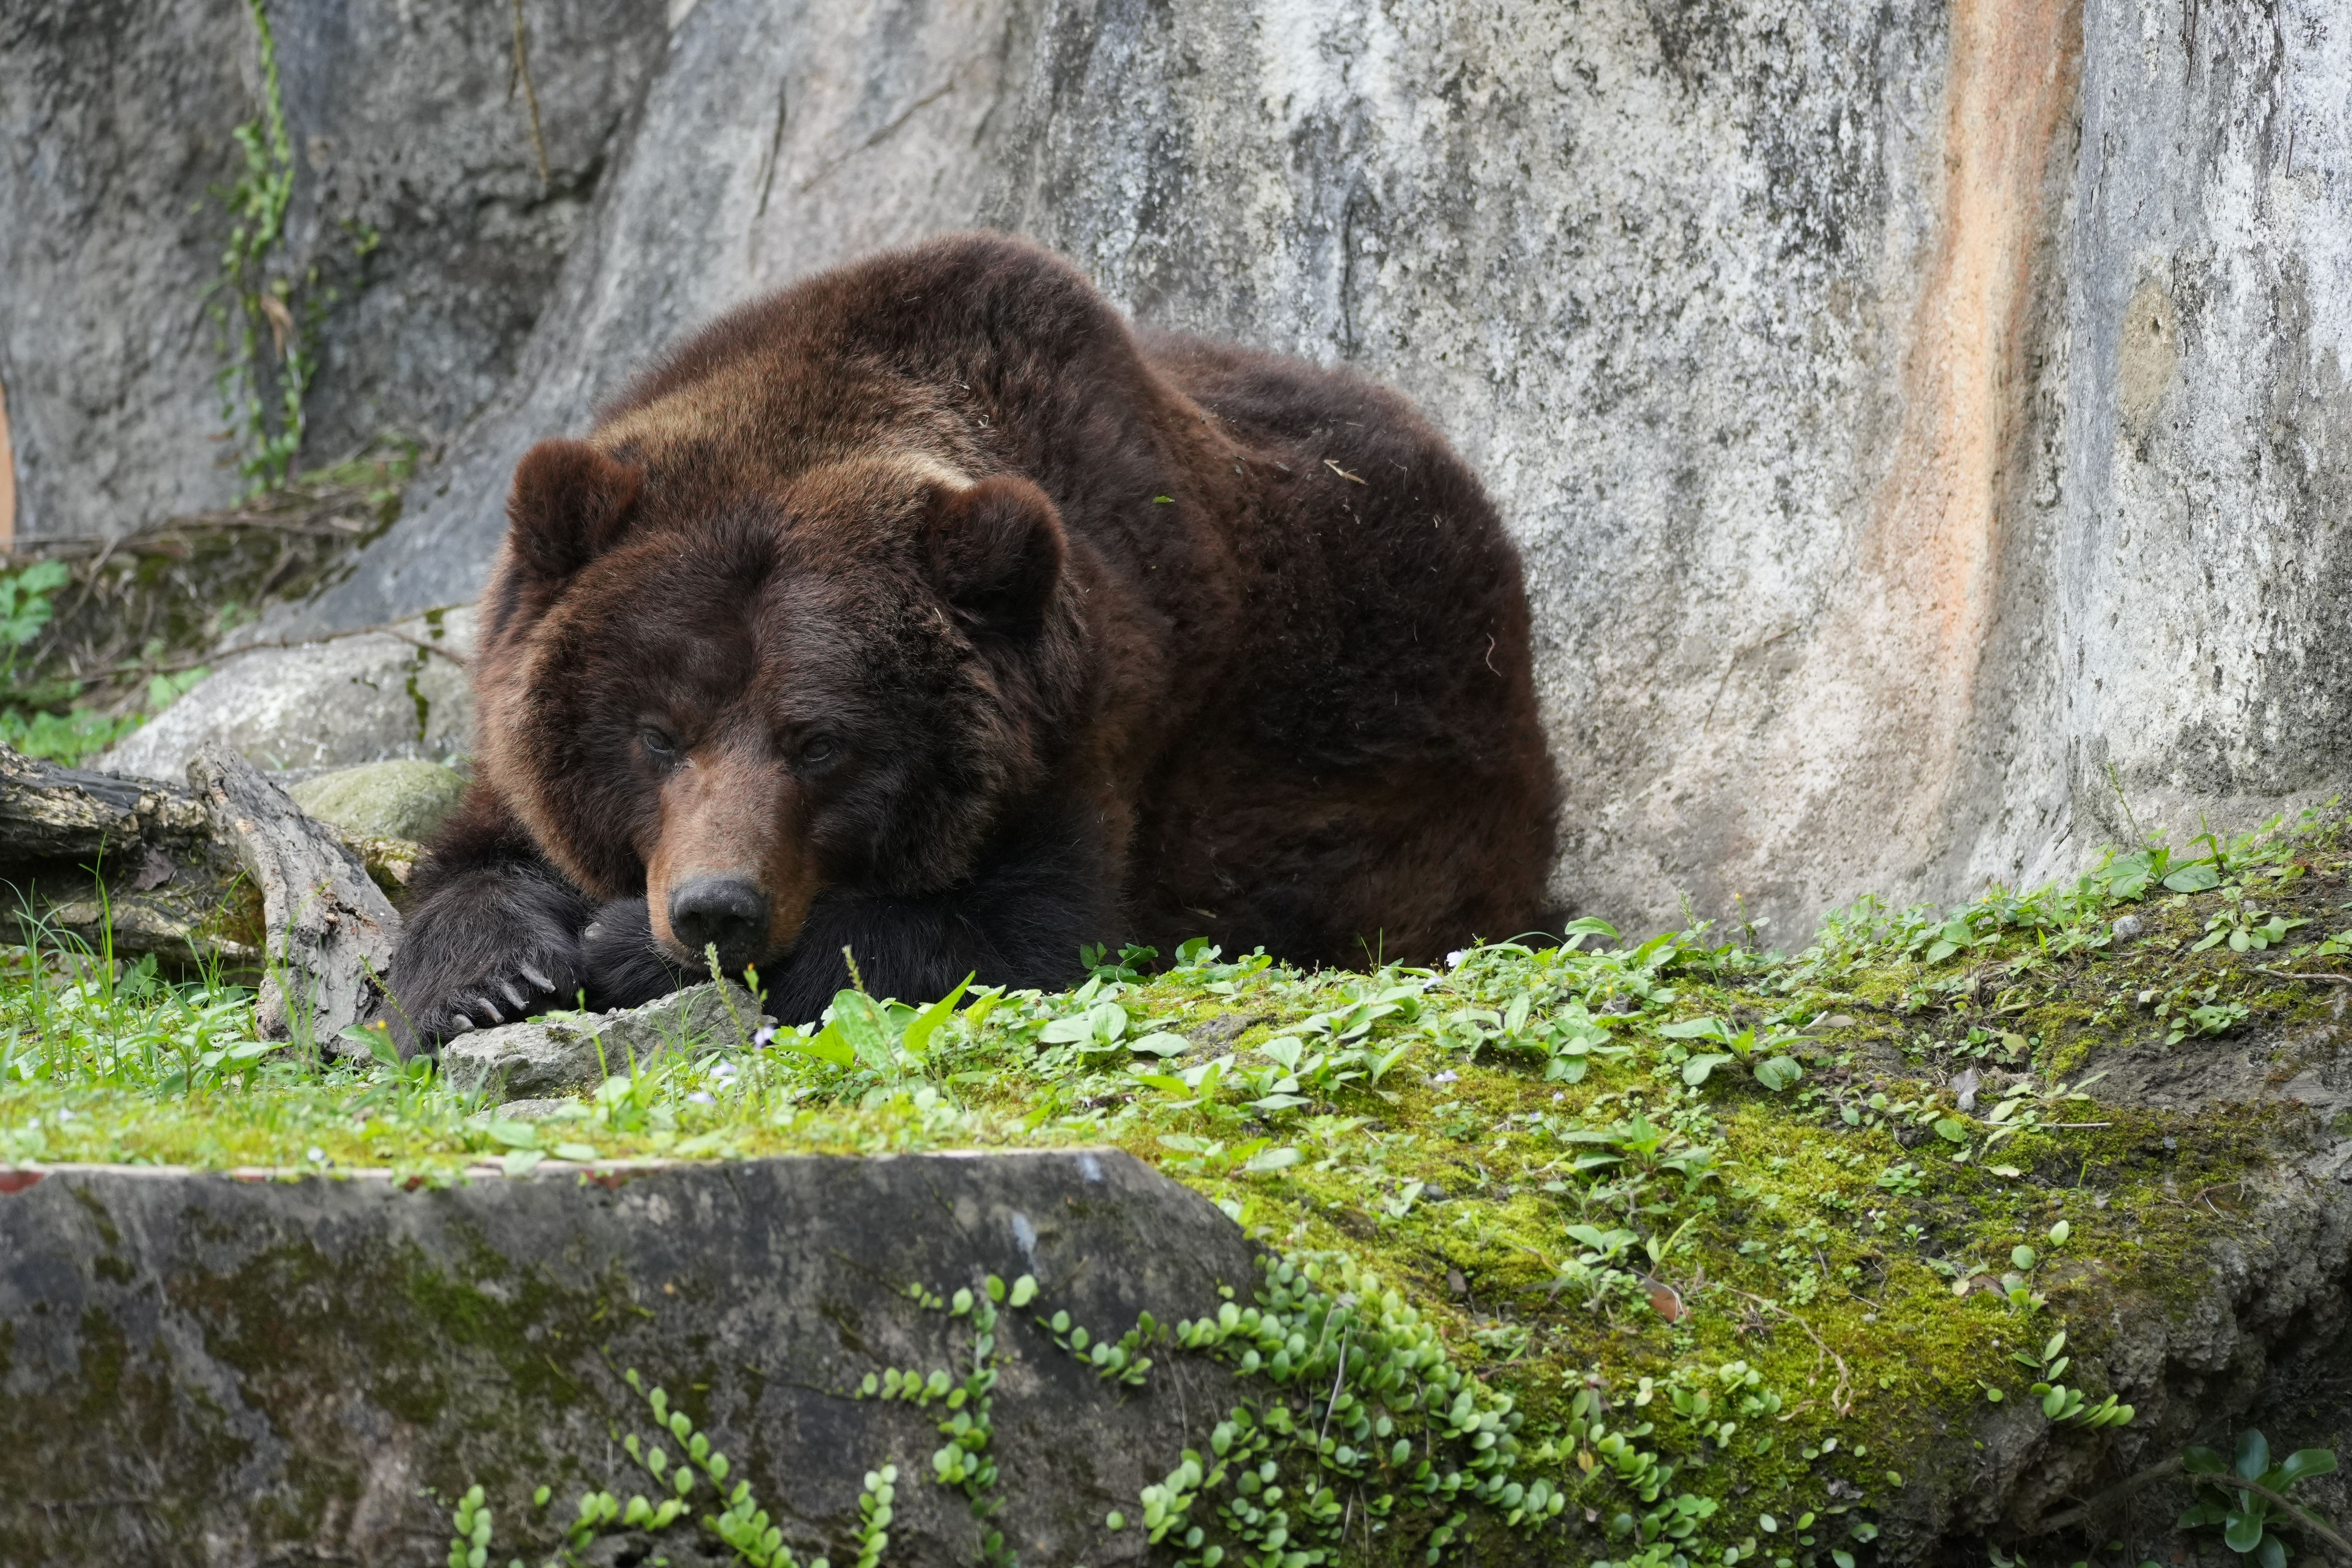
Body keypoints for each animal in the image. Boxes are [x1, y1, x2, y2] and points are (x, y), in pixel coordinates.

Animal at [383, 232, 1559, 1050]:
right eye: (656, 734)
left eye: (821, 742)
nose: (715, 908)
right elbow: (480, 849)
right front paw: (493, 974)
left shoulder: (1092, 724)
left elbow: (1005, 936)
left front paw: (617, 941)